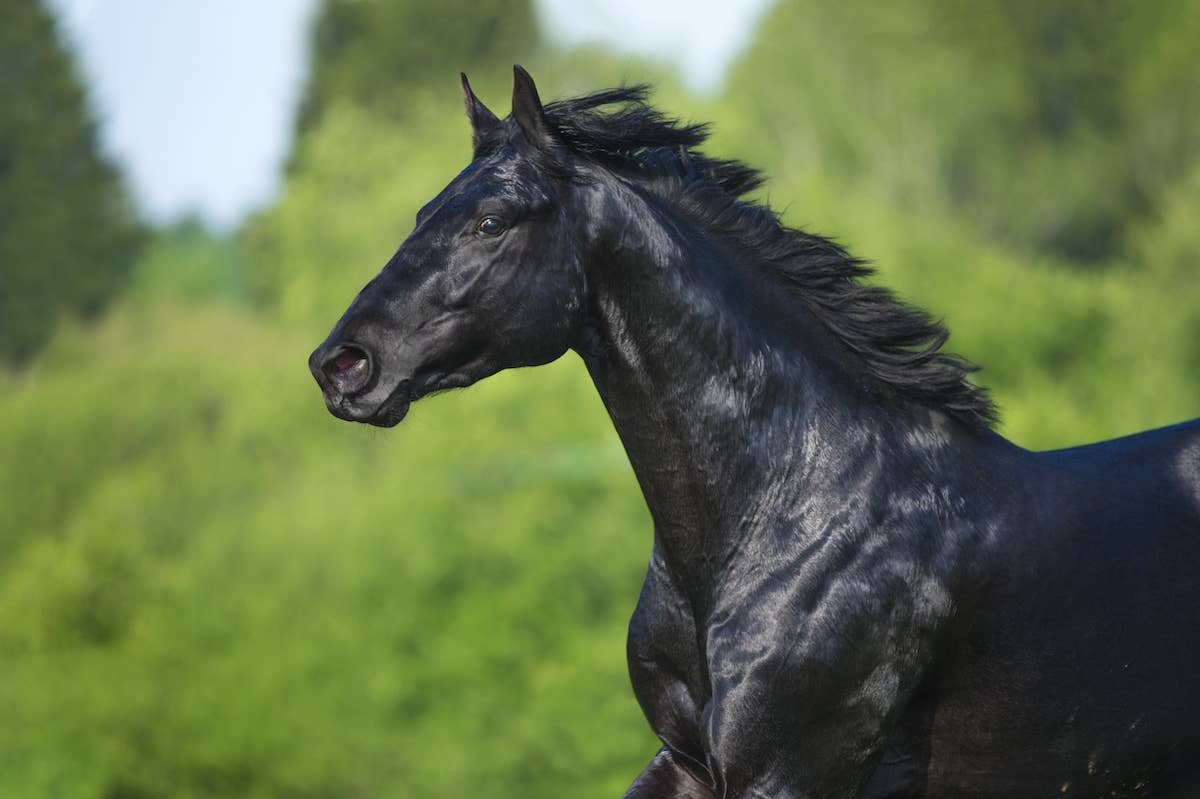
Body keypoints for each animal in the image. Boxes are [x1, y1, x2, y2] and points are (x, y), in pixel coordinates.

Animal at [309, 66, 1200, 798]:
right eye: (425, 211)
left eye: (491, 221)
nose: (342, 365)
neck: (793, 509)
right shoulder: (687, 761)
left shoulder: (789, 773)